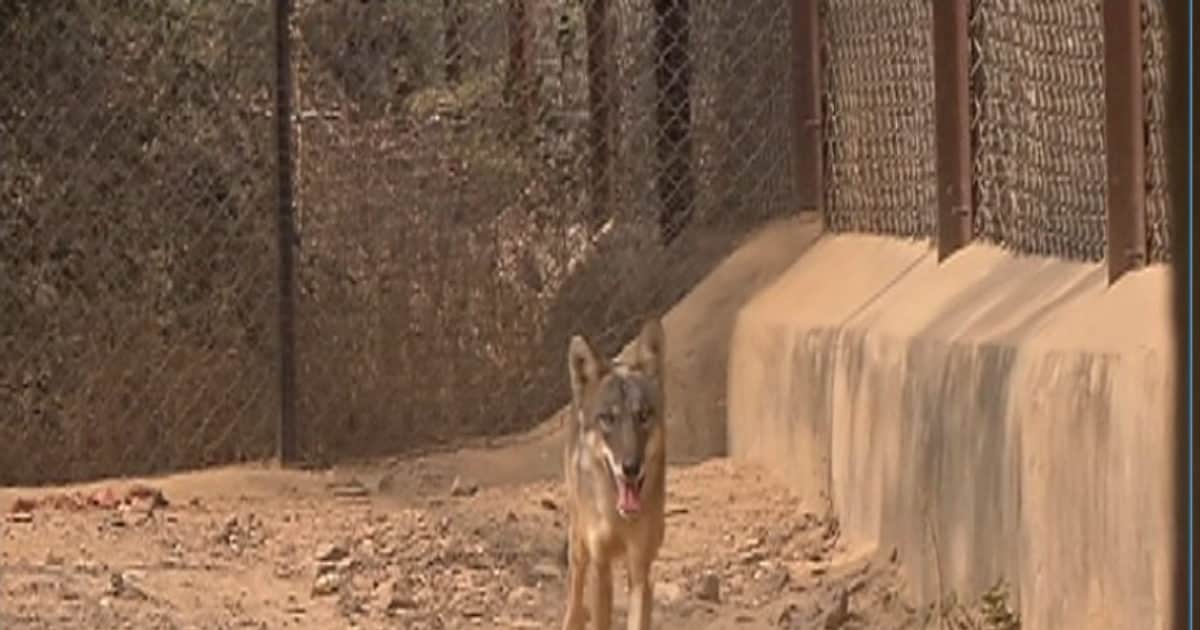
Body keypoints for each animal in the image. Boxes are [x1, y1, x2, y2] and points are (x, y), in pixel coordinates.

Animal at [560, 318, 667, 630]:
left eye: (643, 416)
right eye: (608, 419)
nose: (630, 467)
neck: (619, 518)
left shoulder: (640, 566)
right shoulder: (600, 565)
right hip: (578, 544)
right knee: (574, 591)